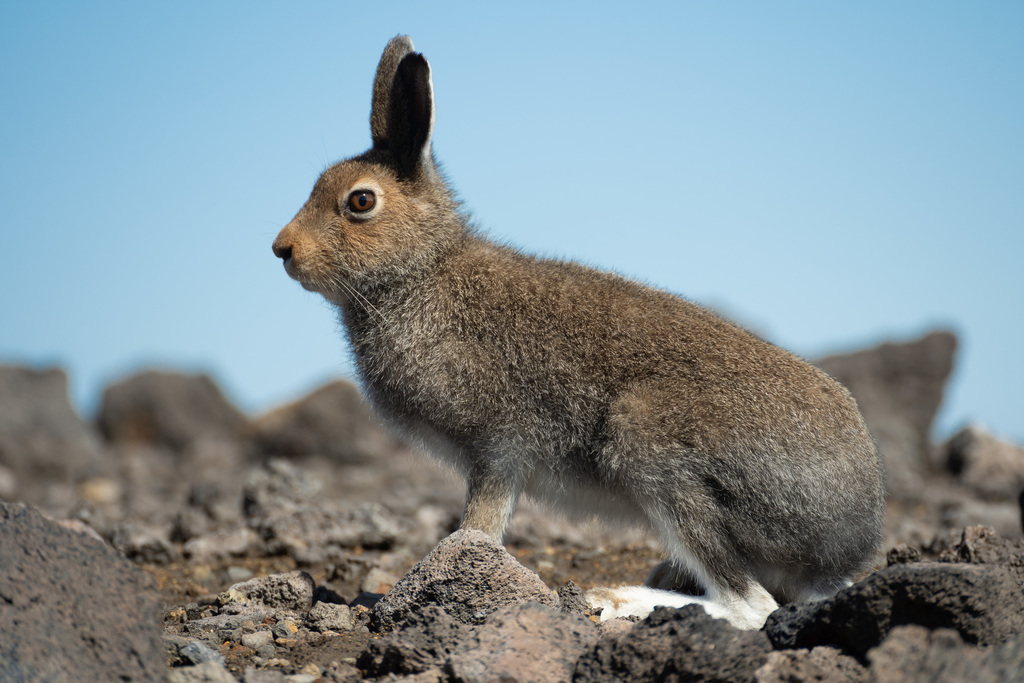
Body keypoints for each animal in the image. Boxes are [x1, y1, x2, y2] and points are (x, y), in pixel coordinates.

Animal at [271, 35, 886, 630]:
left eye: (360, 201)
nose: (282, 249)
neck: (423, 270)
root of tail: (851, 534)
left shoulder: (498, 449)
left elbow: (477, 530)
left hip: (651, 446)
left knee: (752, 606)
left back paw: (618, 602)